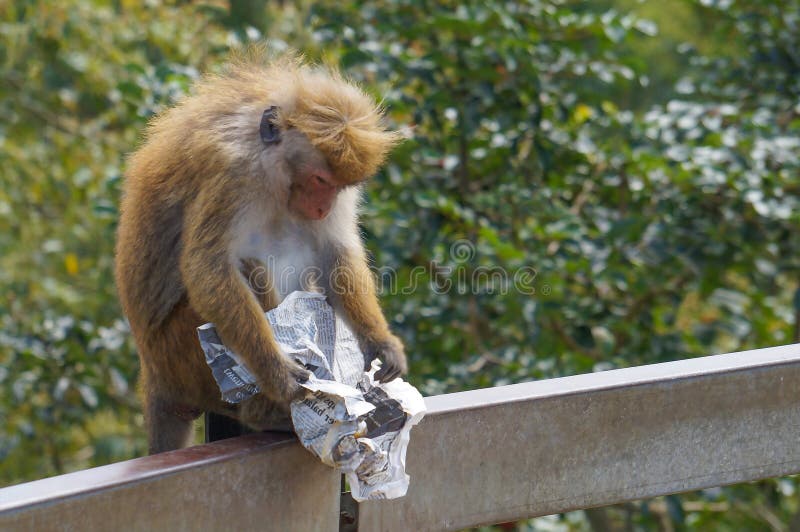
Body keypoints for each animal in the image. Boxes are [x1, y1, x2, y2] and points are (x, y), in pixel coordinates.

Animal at [115, 53, 407, 454]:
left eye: (338, 187)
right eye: (320, 180)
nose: (322, 208)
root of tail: (155, 373)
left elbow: (335, 252)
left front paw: (381, 342)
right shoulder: (232, 173)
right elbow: (208, 269)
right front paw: (278, 373)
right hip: (181, 354)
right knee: (245, 272)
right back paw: (266, 411)